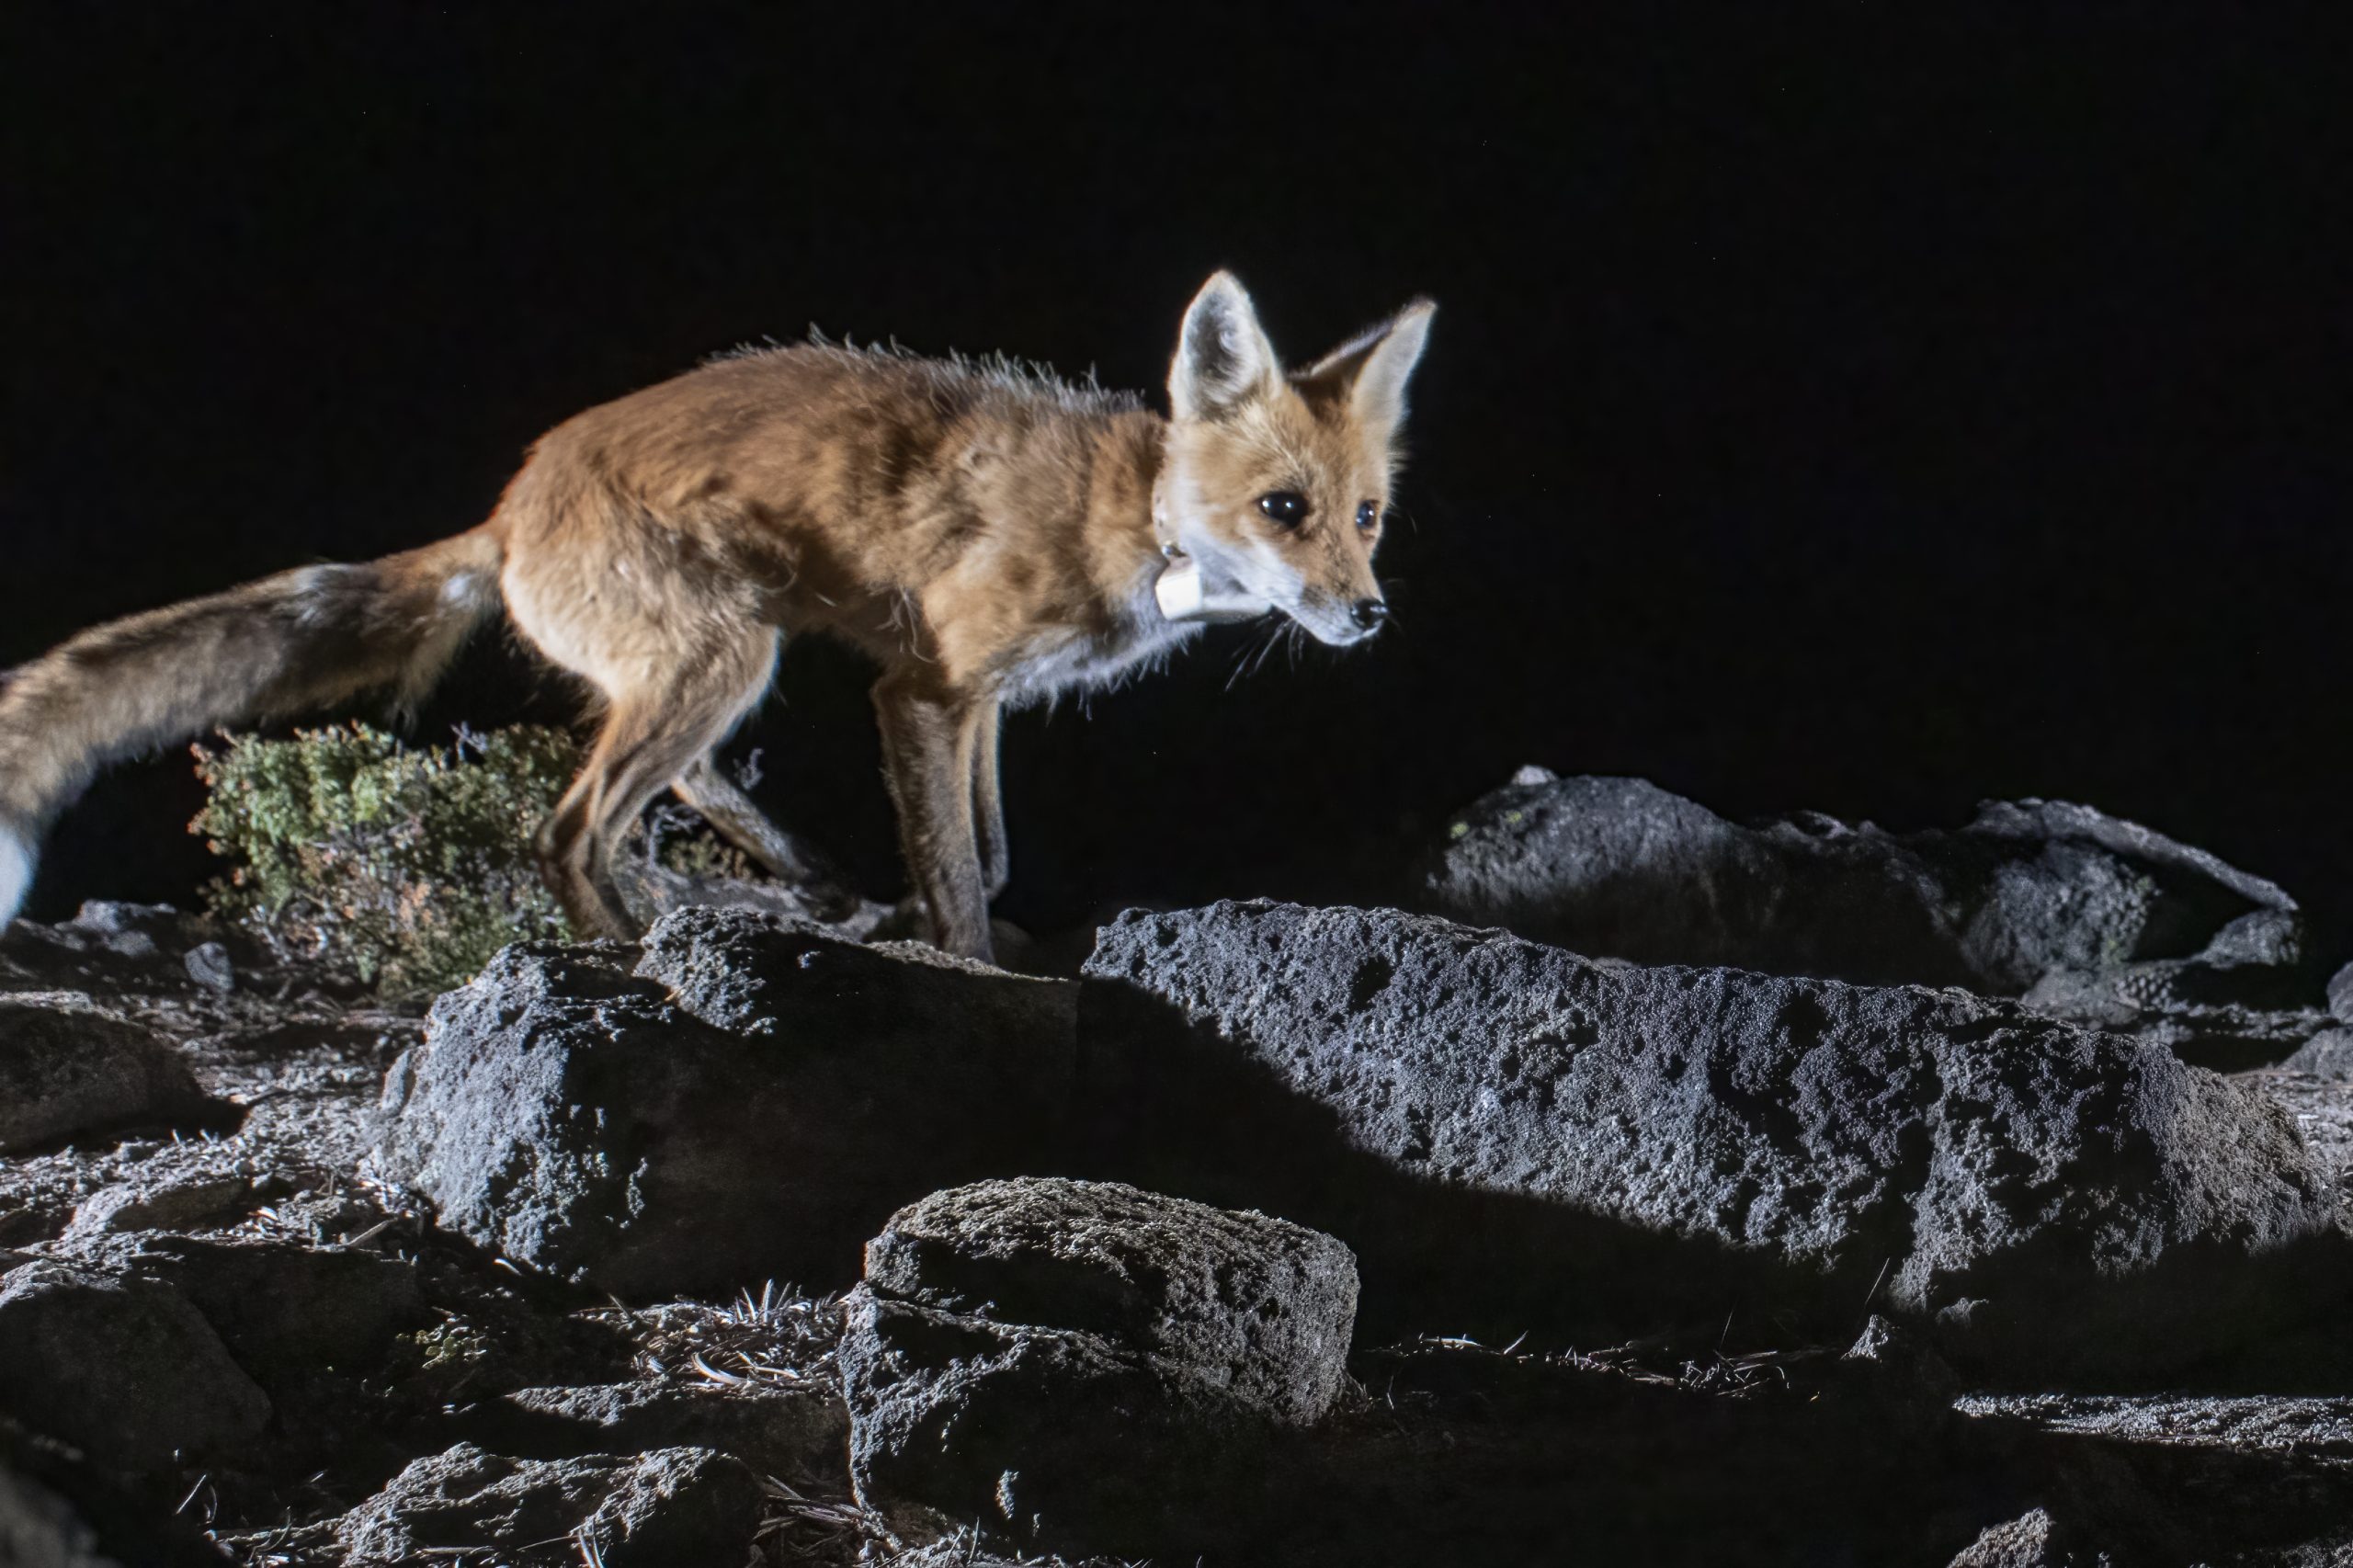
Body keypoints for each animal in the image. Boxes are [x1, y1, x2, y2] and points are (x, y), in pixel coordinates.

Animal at [0, 272, 1433, 964]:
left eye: (1367, 515)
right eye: (1283, 507)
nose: (1370, 619)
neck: (1127, 512)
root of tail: (507, 509)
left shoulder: (974, 699)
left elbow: (988, 849)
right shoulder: (924, 688)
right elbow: (957, 877)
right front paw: (977, 973)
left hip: (710, 664)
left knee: (668, 783)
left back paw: (790, 875)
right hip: (726, 652)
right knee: (568, 829)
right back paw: (637, 957)